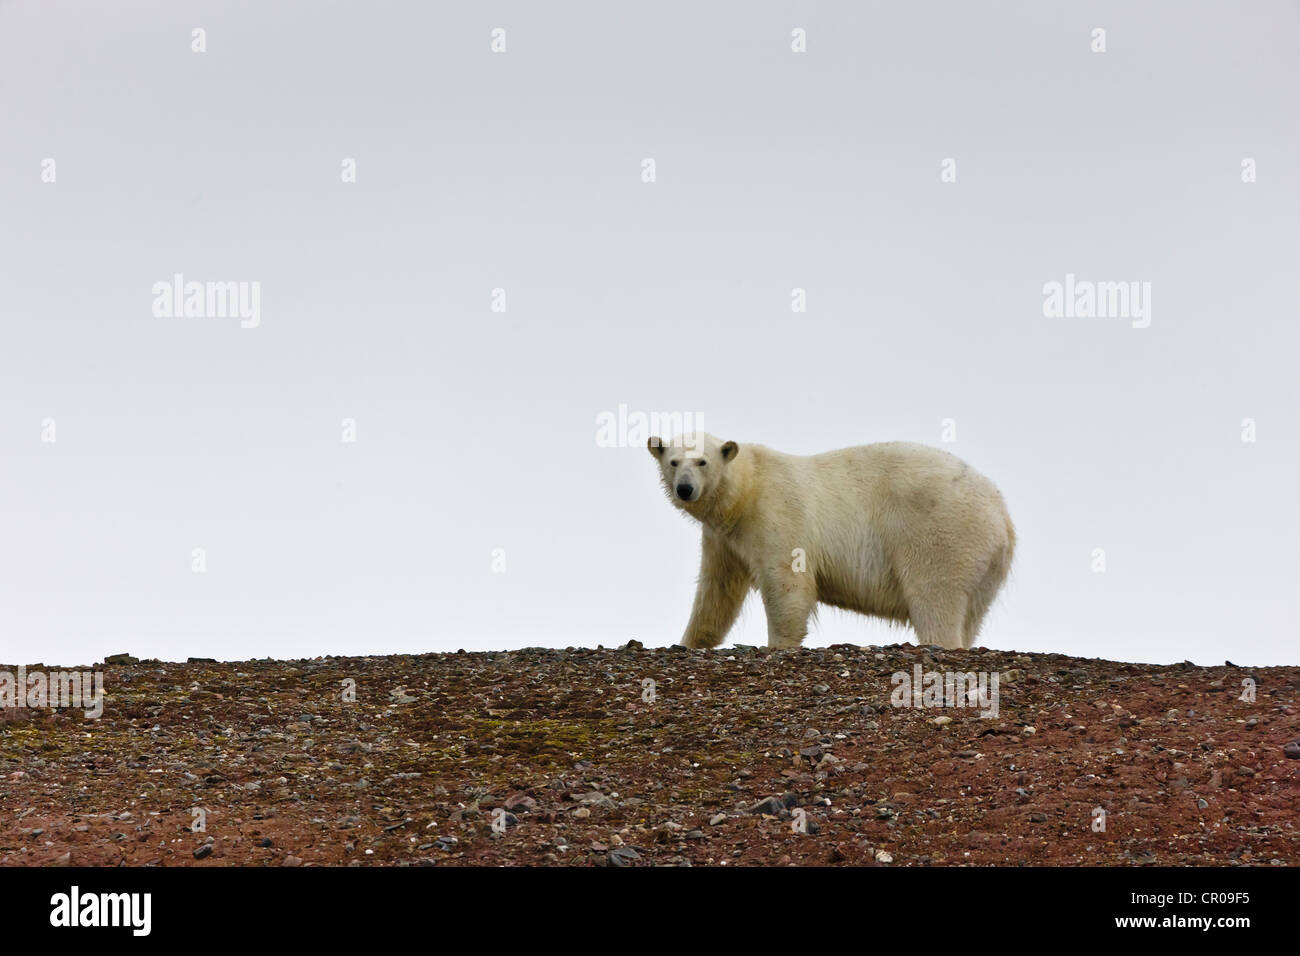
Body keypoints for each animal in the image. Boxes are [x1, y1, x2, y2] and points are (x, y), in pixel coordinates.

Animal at [648, 433, 1015, 650]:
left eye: (702, 461)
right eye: (673, 462)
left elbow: (787, 583)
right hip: (983, 566)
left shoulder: (776, 513)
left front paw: (779, 643)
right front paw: (688, 641)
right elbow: (717, 592)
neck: (745, 491)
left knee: (935, 598)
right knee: (969, 614)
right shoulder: (724, 539)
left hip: (941, 534)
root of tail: (1003, 517)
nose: (685, 488)